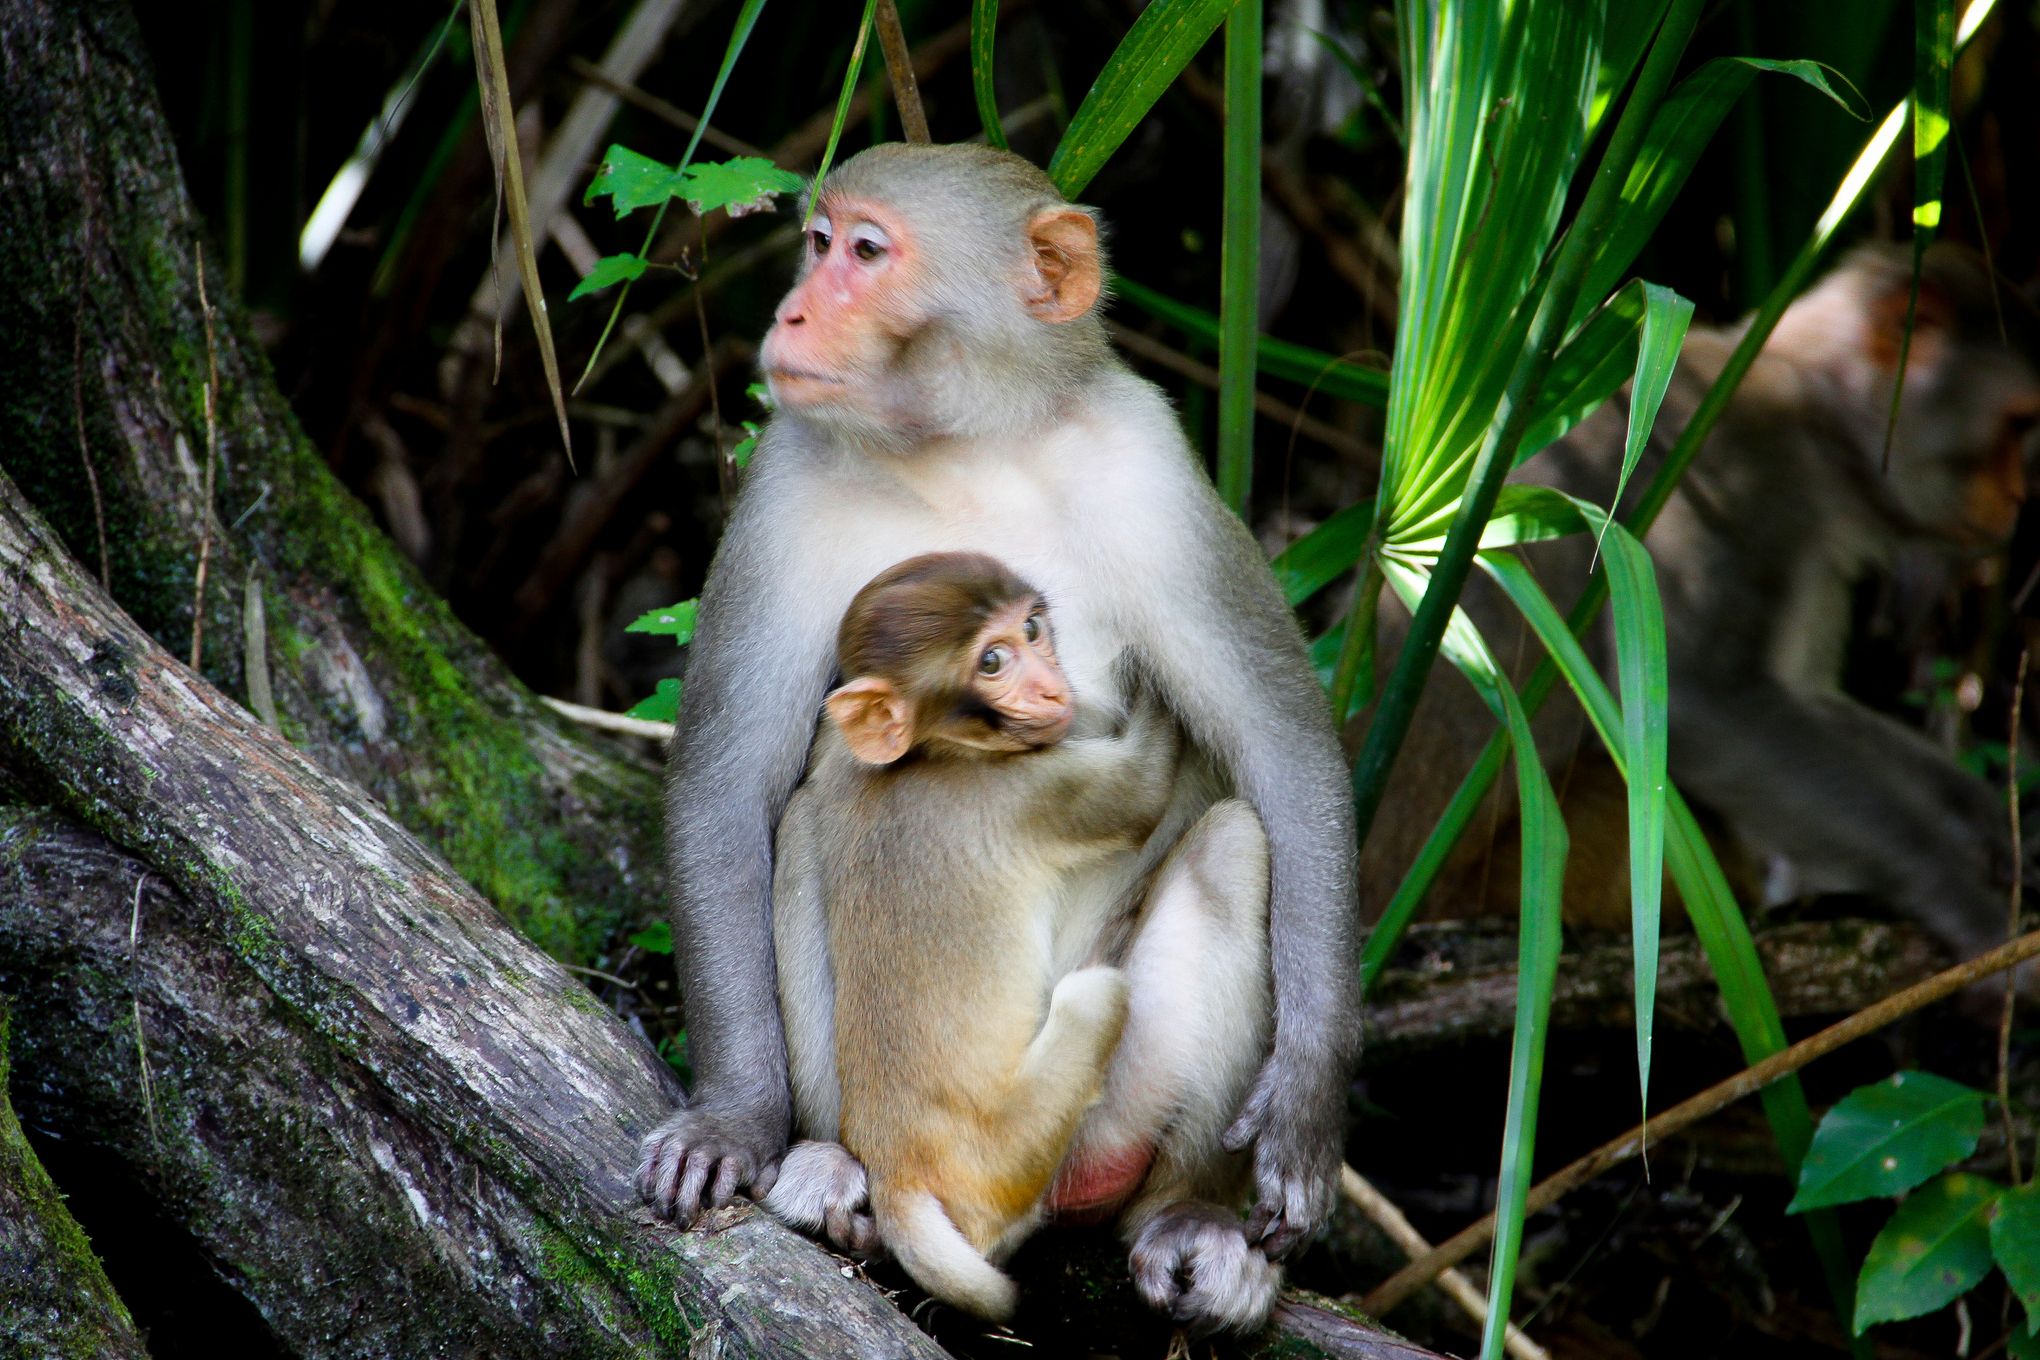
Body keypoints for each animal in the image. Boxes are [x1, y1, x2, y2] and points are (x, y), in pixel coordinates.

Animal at [759, 551, 1196, 1320]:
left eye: (1033, 628)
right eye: (992, 661)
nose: (1053, 683)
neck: (937, 753)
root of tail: (897, 1169)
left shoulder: (847, 767)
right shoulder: (1035, 792)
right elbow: (1143, 787)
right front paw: (1149, 675)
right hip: (1007, 1157)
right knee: (1098, 996)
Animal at [1364, 243, 2040, 981]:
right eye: (2019, 425)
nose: (2018, 497)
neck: (1815, 411)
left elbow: (1805, 697)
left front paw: (1986, 821)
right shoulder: (1747, 470)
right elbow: (1700, 705)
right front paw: (1960, 896)